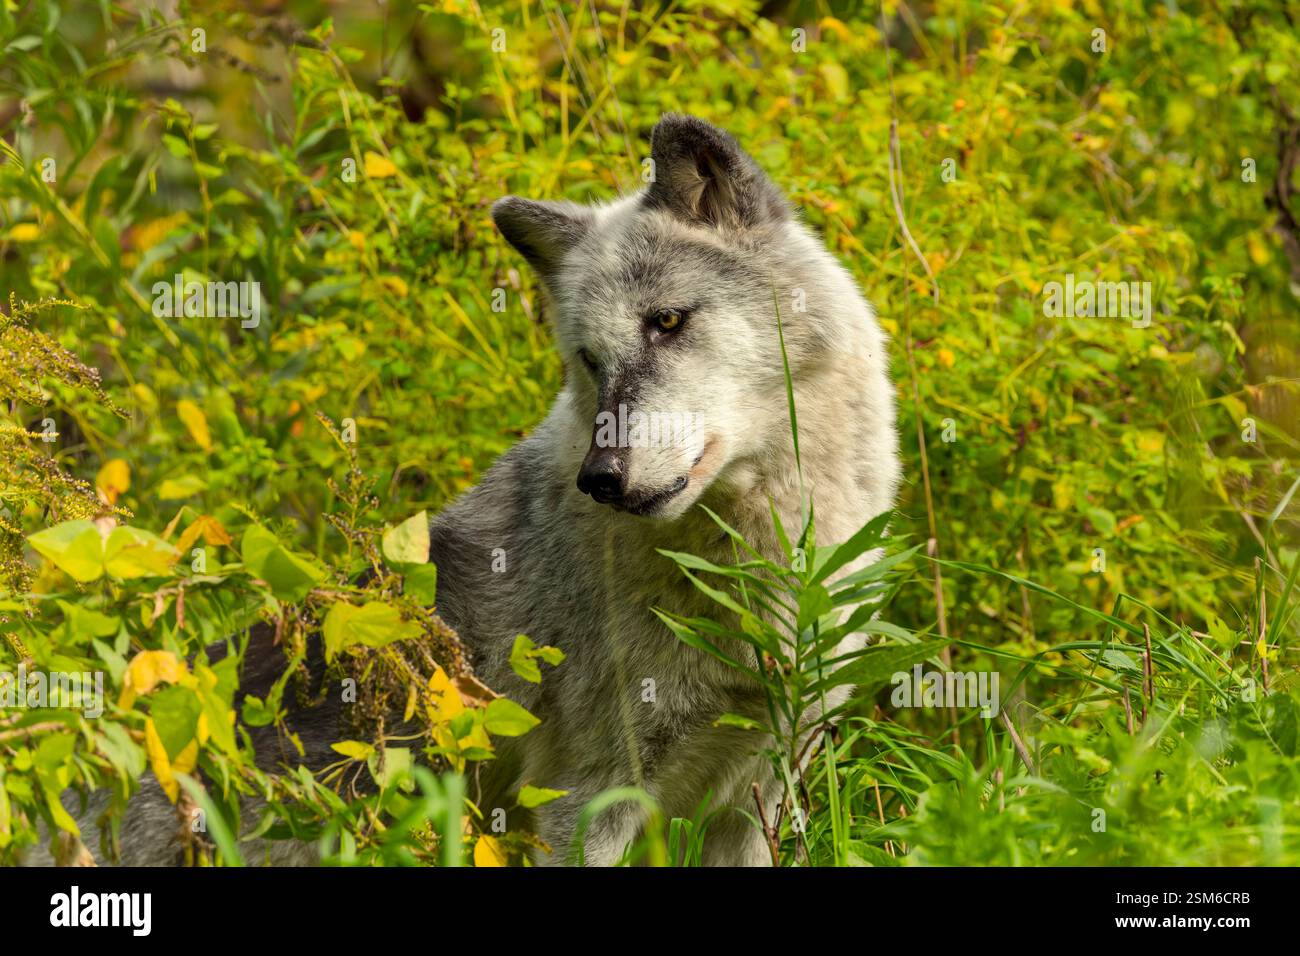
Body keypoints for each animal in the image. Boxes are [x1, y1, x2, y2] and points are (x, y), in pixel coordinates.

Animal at [25, 114, 898, 867]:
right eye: (588, 359)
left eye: (668, 322)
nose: (600, 478)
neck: (748, 570)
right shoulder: (589, 795)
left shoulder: (762, 790)